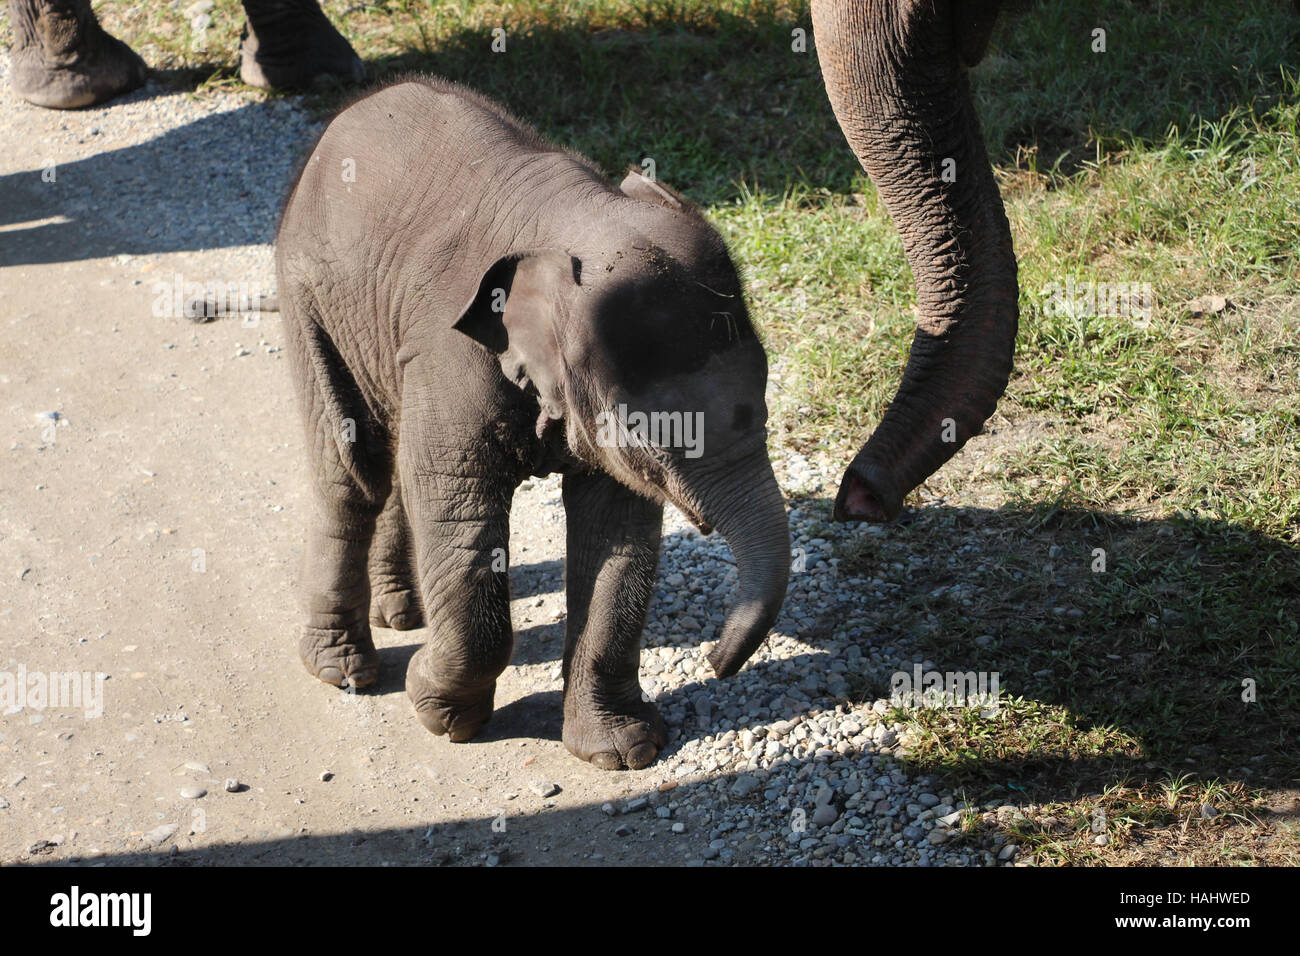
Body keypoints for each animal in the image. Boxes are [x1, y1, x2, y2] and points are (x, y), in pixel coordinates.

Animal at [275, 78, 791, 770]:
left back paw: (402, 615)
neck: (575, 218)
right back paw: (343, 670)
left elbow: (615, 533)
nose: (714, 661)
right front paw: (437, 711)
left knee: (394, 465)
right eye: (653, 440)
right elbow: (458, 510)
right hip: (309, 298)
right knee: (354, 471)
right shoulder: (451, 354)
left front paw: (622, 750)